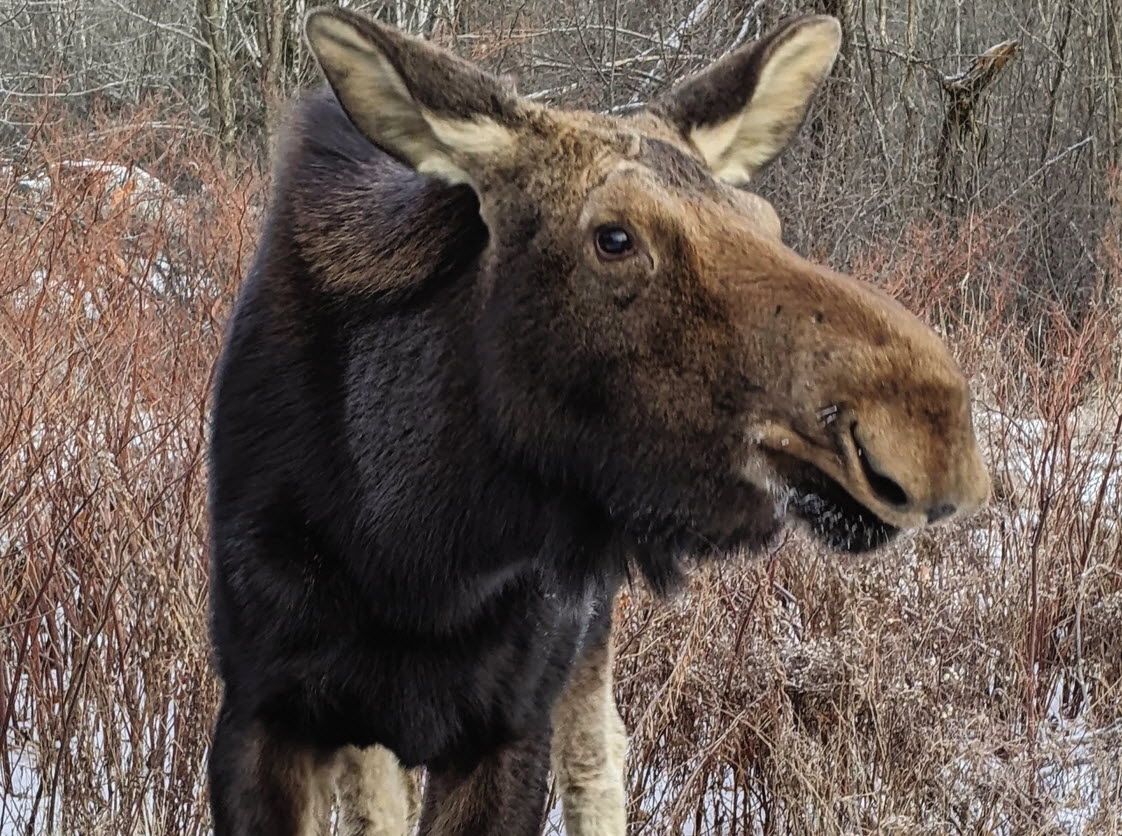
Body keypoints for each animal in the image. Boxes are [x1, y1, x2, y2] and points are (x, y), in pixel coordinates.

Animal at [206, 7, 989, 835]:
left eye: (765, 219)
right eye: (615, 237)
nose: (932, 438)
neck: (412, 555)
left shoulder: (509, 723)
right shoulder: (262, 707)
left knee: (599, 757)